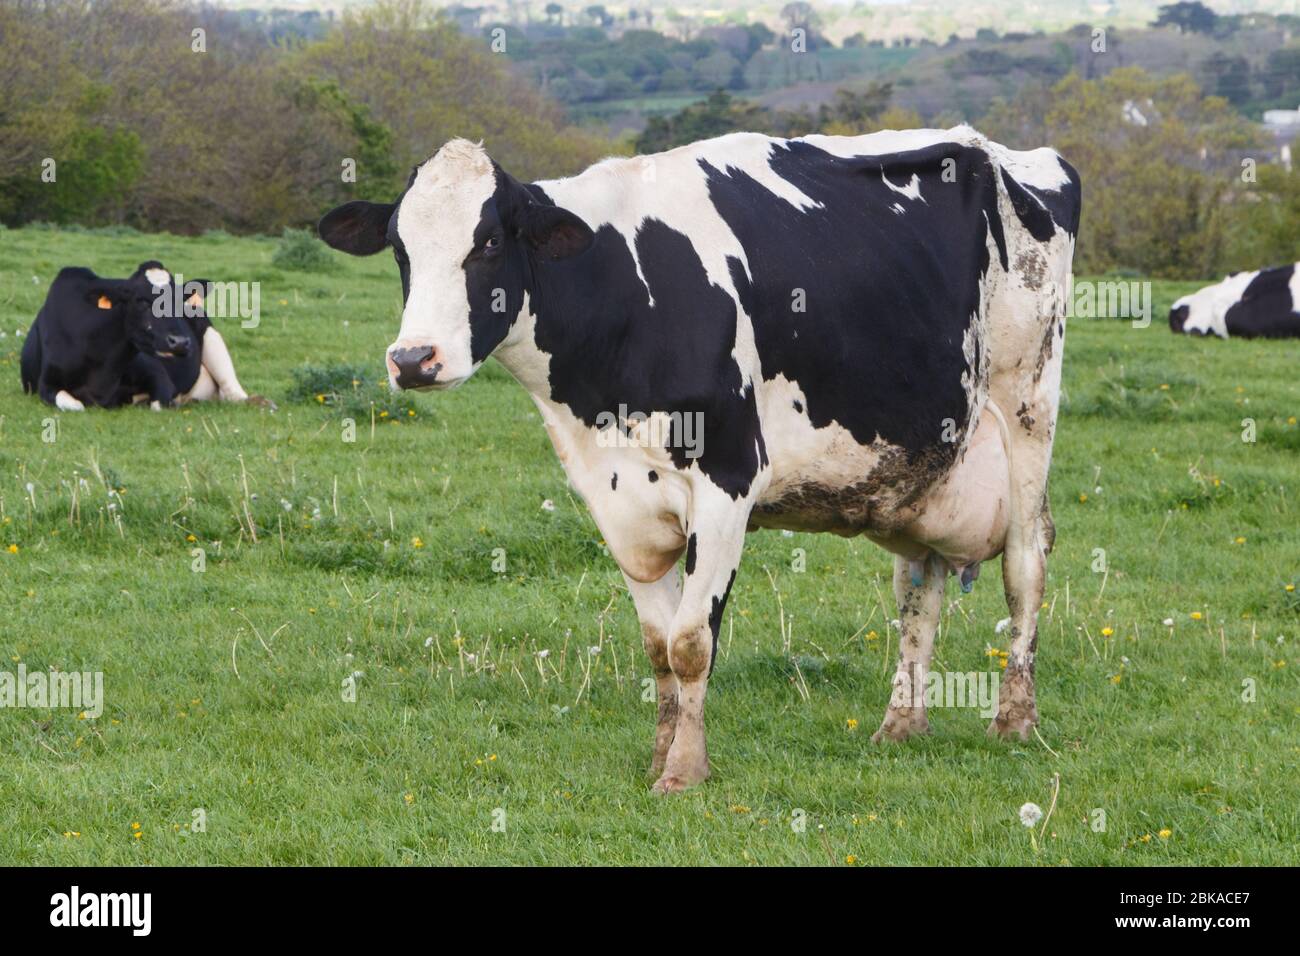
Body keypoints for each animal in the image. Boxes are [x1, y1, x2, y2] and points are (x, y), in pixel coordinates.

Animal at [21, 261, 253, 411]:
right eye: (141, 301)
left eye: (179, 302)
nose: (180, 342)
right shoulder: (45, 384)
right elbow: (75, 405)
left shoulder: (157, 372)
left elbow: (160, 403)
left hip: (212, 337)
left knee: (233, 393)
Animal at [319, 128, 1081, 792]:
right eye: (399, 249)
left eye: (489, 242)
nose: (413, 359)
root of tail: (1005, 150)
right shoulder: (614, 499)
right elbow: (658, 647)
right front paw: (660, 755)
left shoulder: (727, 484)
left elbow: (690, 644)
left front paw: (685, 771)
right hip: (918, 465)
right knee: (918, 589)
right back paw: (900, 724)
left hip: (1026, 409)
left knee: (1025, 566)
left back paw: (1014, 720)